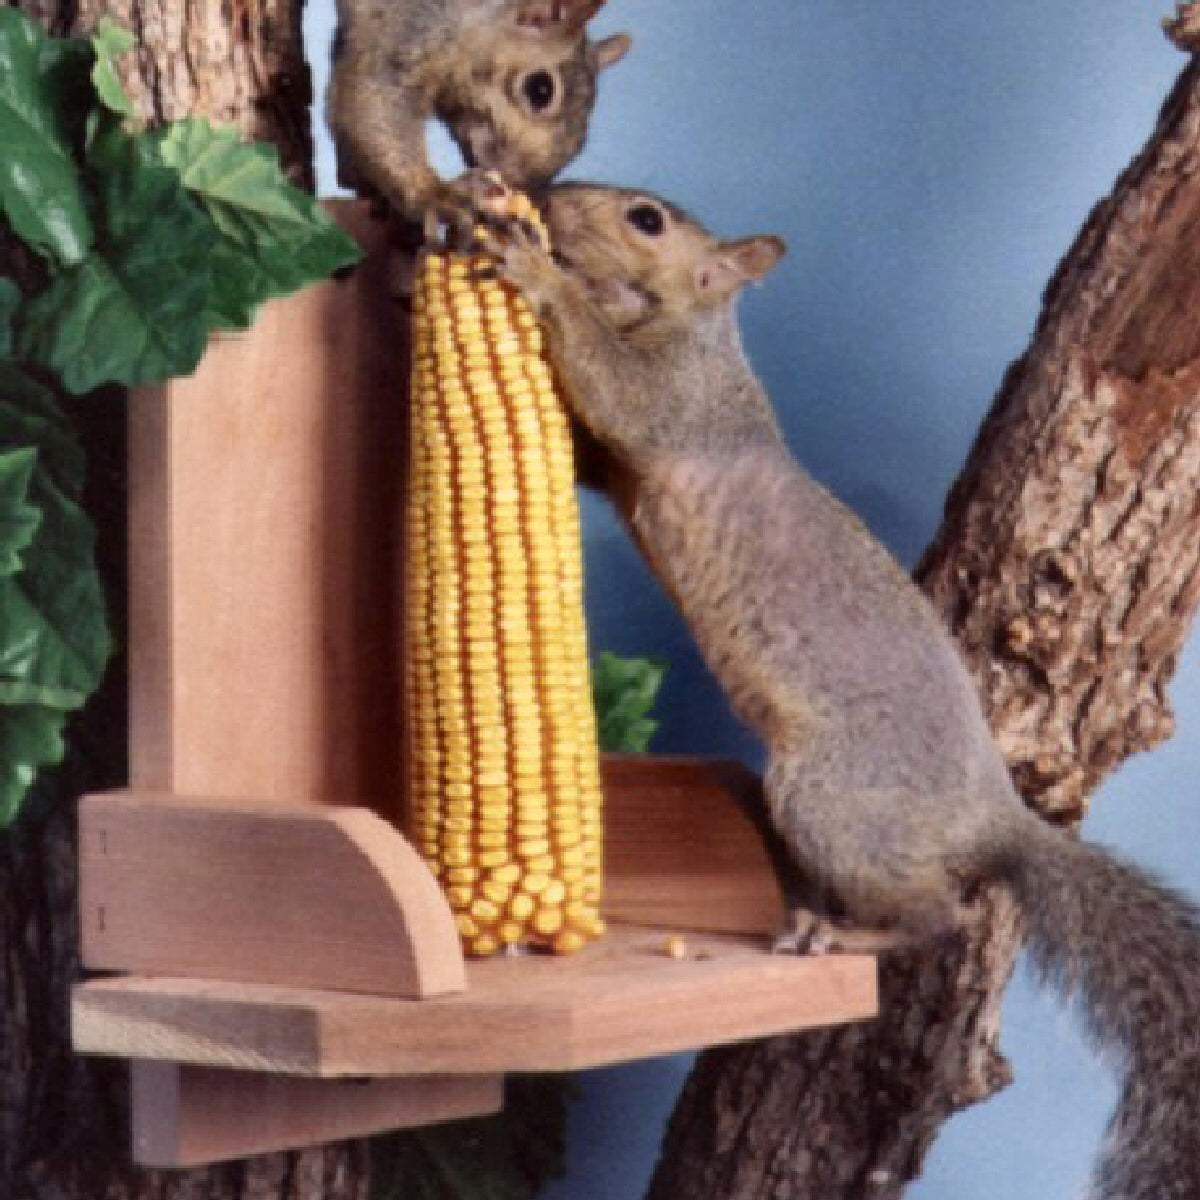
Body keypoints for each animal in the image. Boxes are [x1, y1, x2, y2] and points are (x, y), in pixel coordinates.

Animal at [326, 0, 630, 232]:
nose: (522, 187)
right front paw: (436, 197)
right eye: (540, 89)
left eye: (583, 140)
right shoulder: (408, 31)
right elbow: (375, 102)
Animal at [478, 179, 1200, 1198]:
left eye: (645, 220)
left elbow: (615, 388)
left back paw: (844, 938)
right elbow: (585, 447)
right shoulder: (619, 456)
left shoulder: (683, 405)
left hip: (834, 801)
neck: (692, 327)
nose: (555, 195)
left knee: (942, 918)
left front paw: (537, 269)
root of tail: (988, 813)